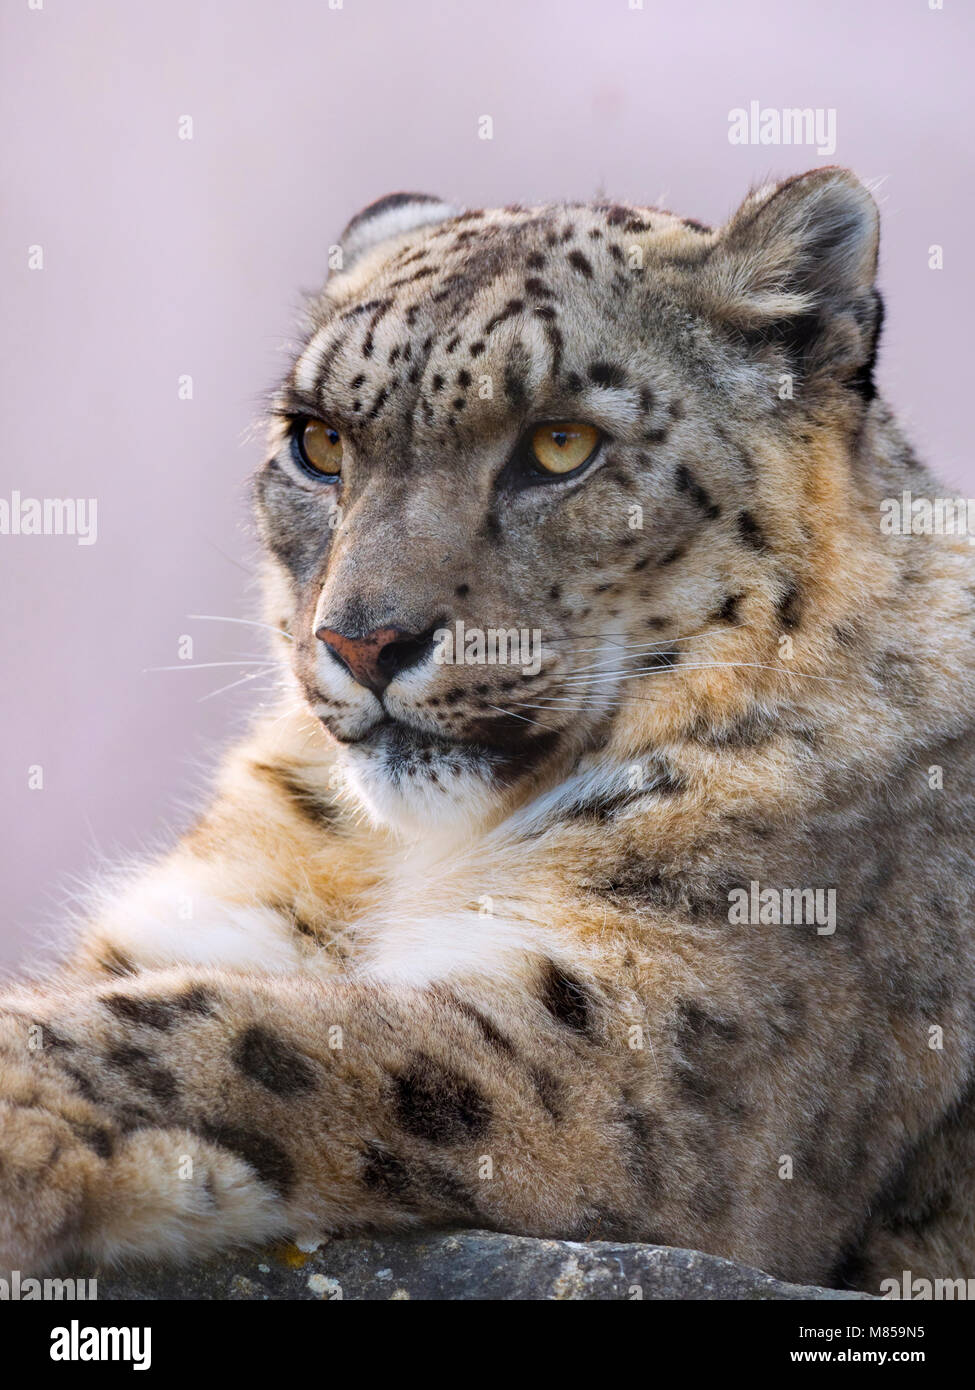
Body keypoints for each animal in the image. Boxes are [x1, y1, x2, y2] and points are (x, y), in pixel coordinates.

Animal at [2, 168, 973, 1296]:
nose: (364, 639)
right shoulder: (206, 914)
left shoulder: (649, 1053)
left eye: (561, 444)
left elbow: (263, 1027)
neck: (409, 861)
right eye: (318, 441)